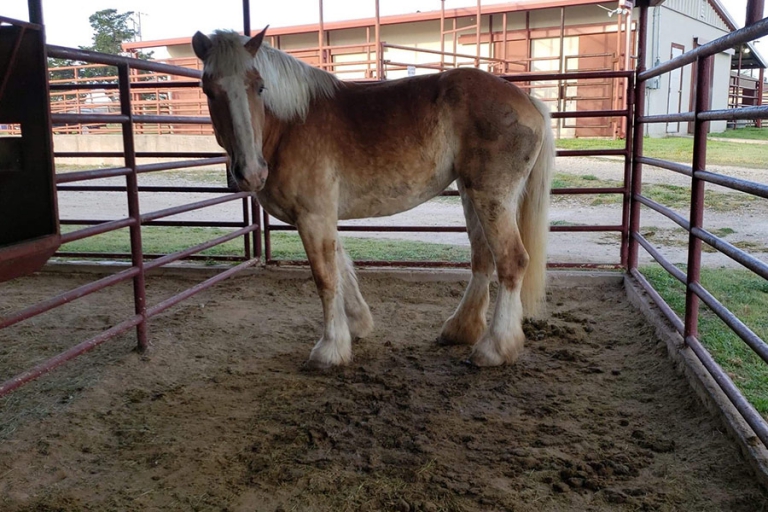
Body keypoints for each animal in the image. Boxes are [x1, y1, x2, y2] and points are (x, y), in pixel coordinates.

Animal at [192, 27, 555, 369]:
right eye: (208, 91)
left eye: (259, 87)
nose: (250, 173)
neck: (289, 126)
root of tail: (527, 101)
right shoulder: (322, 216)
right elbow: (341, 268)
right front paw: (355, 325)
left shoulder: (313, 216)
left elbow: (325, 278)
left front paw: (329, 350)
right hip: (472, 194)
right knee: (483, 259)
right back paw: (461, 330)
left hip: (491, 196)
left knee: (511, 261)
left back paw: (494, 349)